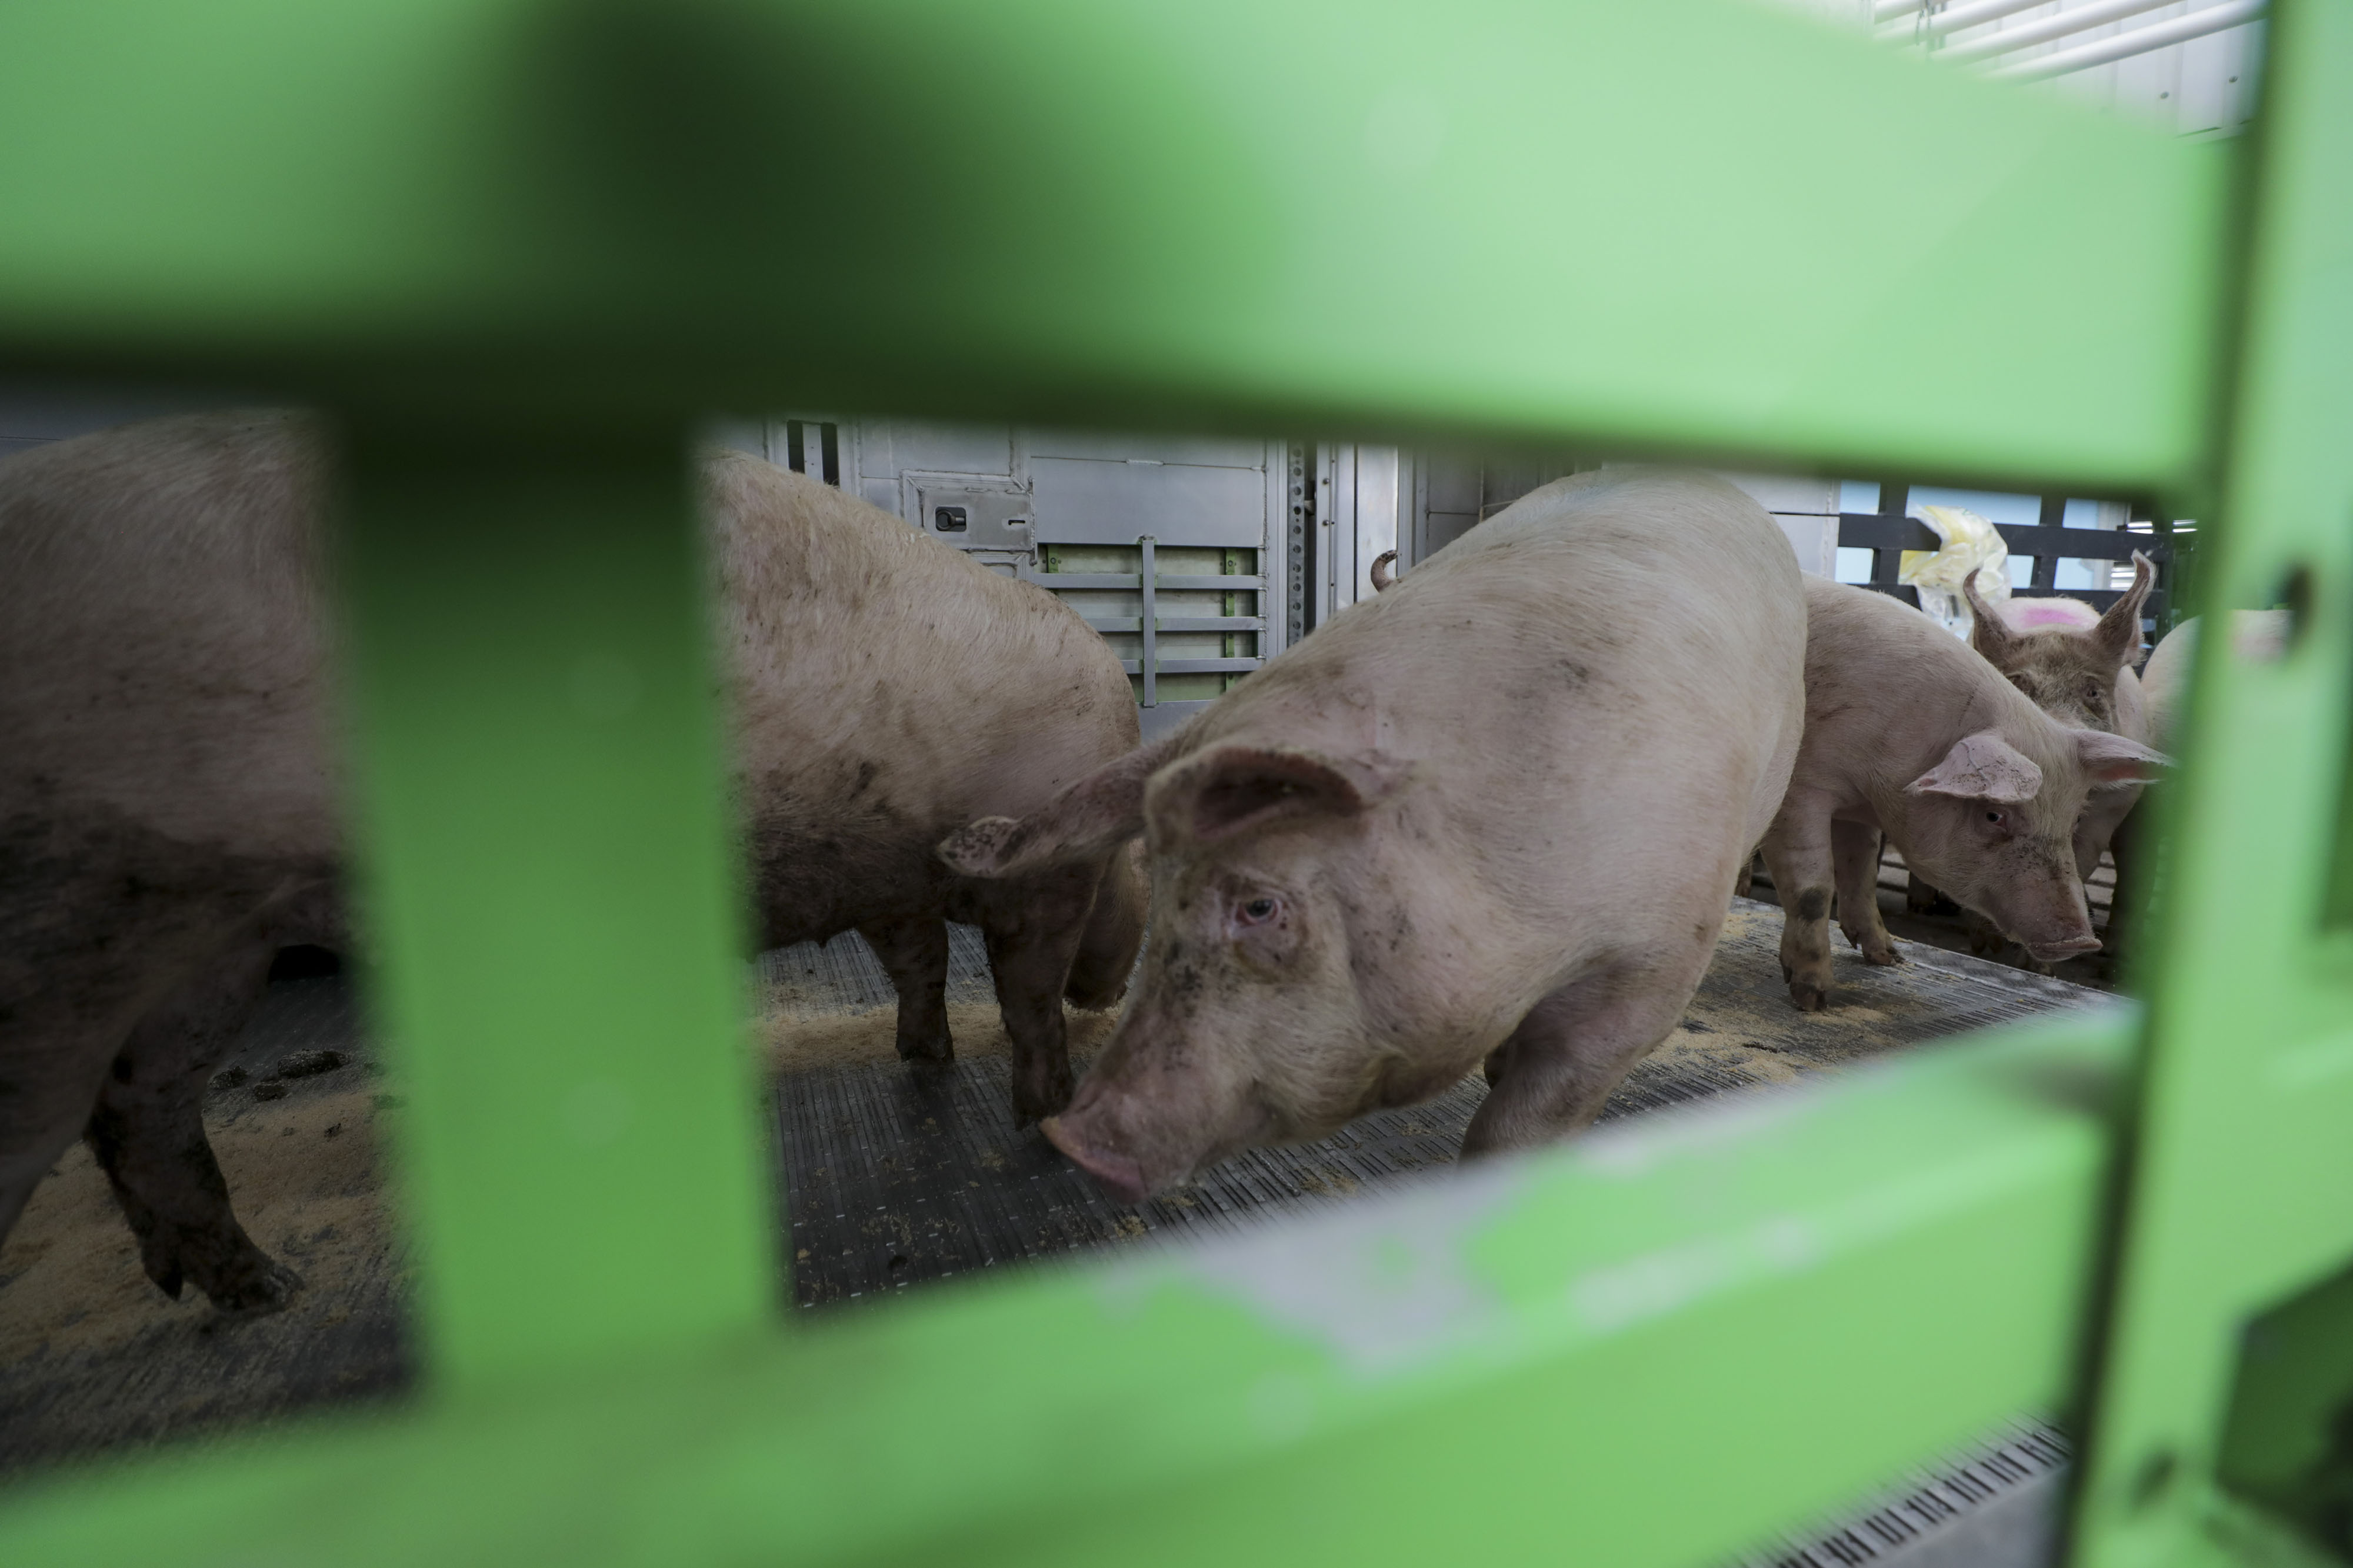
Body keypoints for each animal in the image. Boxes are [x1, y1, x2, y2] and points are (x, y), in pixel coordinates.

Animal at [1, 411, 1143, 1312]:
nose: (1113, 983)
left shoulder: (886, 870)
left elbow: (918, 961)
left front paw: (928, 1058)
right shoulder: (1028, 881)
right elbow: (1021, 989)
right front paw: (1047, 1111)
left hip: (209, 940)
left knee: (141, 1111)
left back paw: (259, 1293)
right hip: (72, 928)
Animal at [1763, 577, 2169, 1011]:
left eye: (2075, 817)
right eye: (1994, 815)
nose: (2079, 940)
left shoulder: (1856, 807)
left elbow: (1861, 874)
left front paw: (1890, 959)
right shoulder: (1802, 790)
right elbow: (1814, 890)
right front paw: (1813, 999)